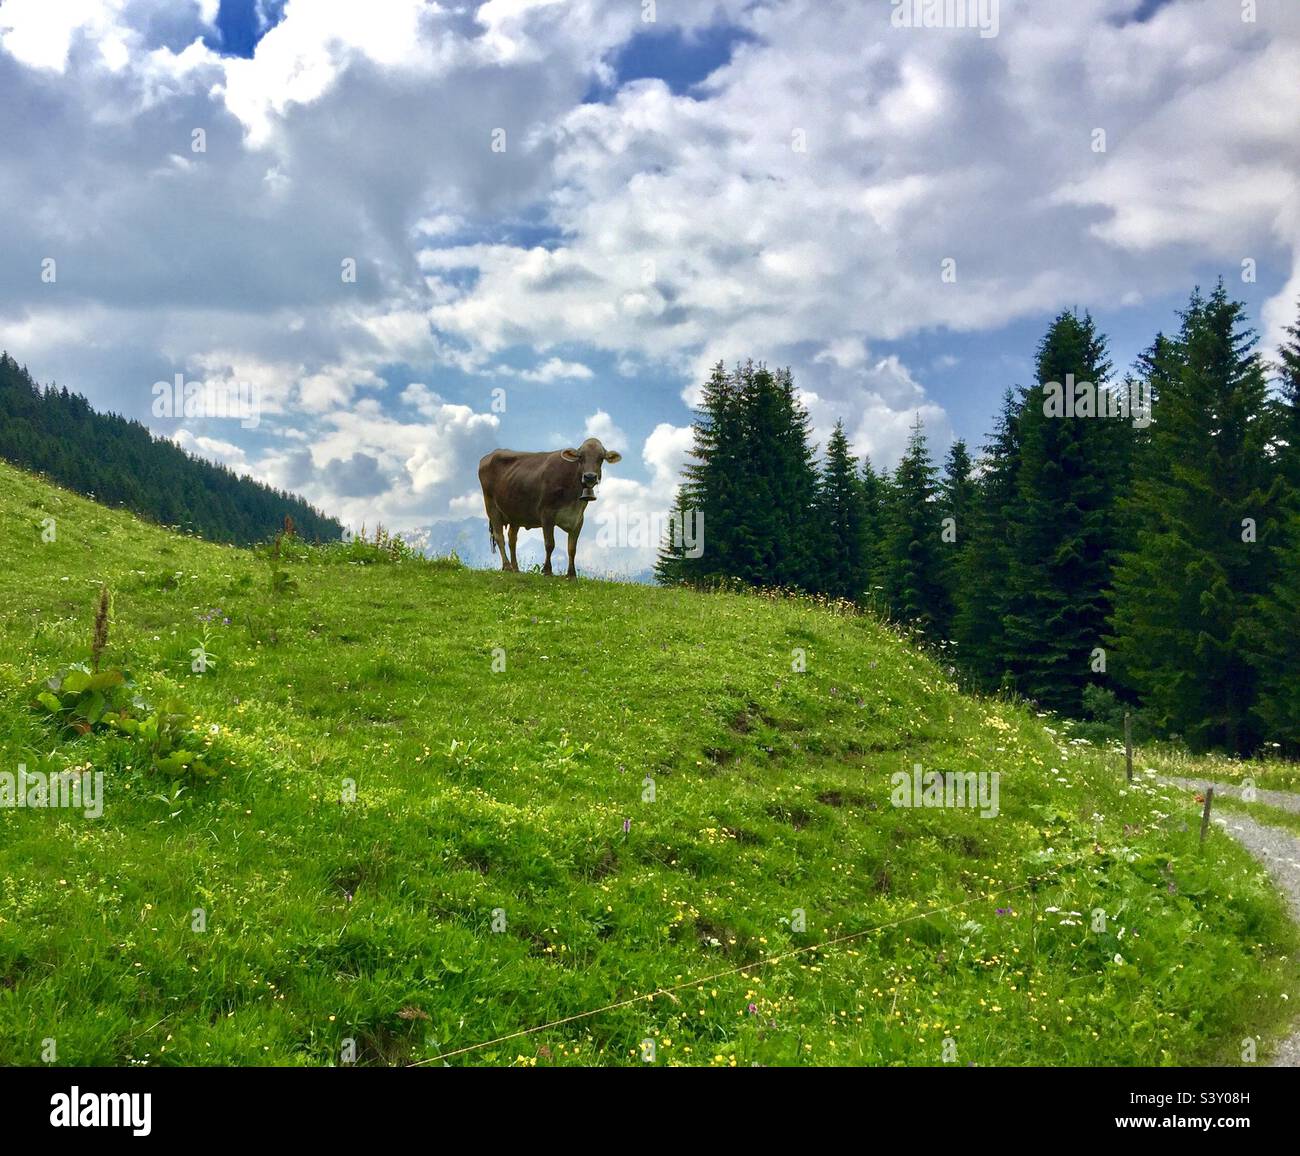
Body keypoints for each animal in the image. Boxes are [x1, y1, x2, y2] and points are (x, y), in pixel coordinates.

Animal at [478, 437, 623, 578]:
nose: (590, 477)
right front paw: (547, 571)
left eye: (601, 458)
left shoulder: (578, 519)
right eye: (580, 457)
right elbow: (549, 544)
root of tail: (490, 455)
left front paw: (571, 574)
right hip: (492, 507)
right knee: (500, 537)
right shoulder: (547, 514)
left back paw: (515, 569)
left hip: (515, 514)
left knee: (512, 539)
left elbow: (572, 548)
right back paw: (507, 566)